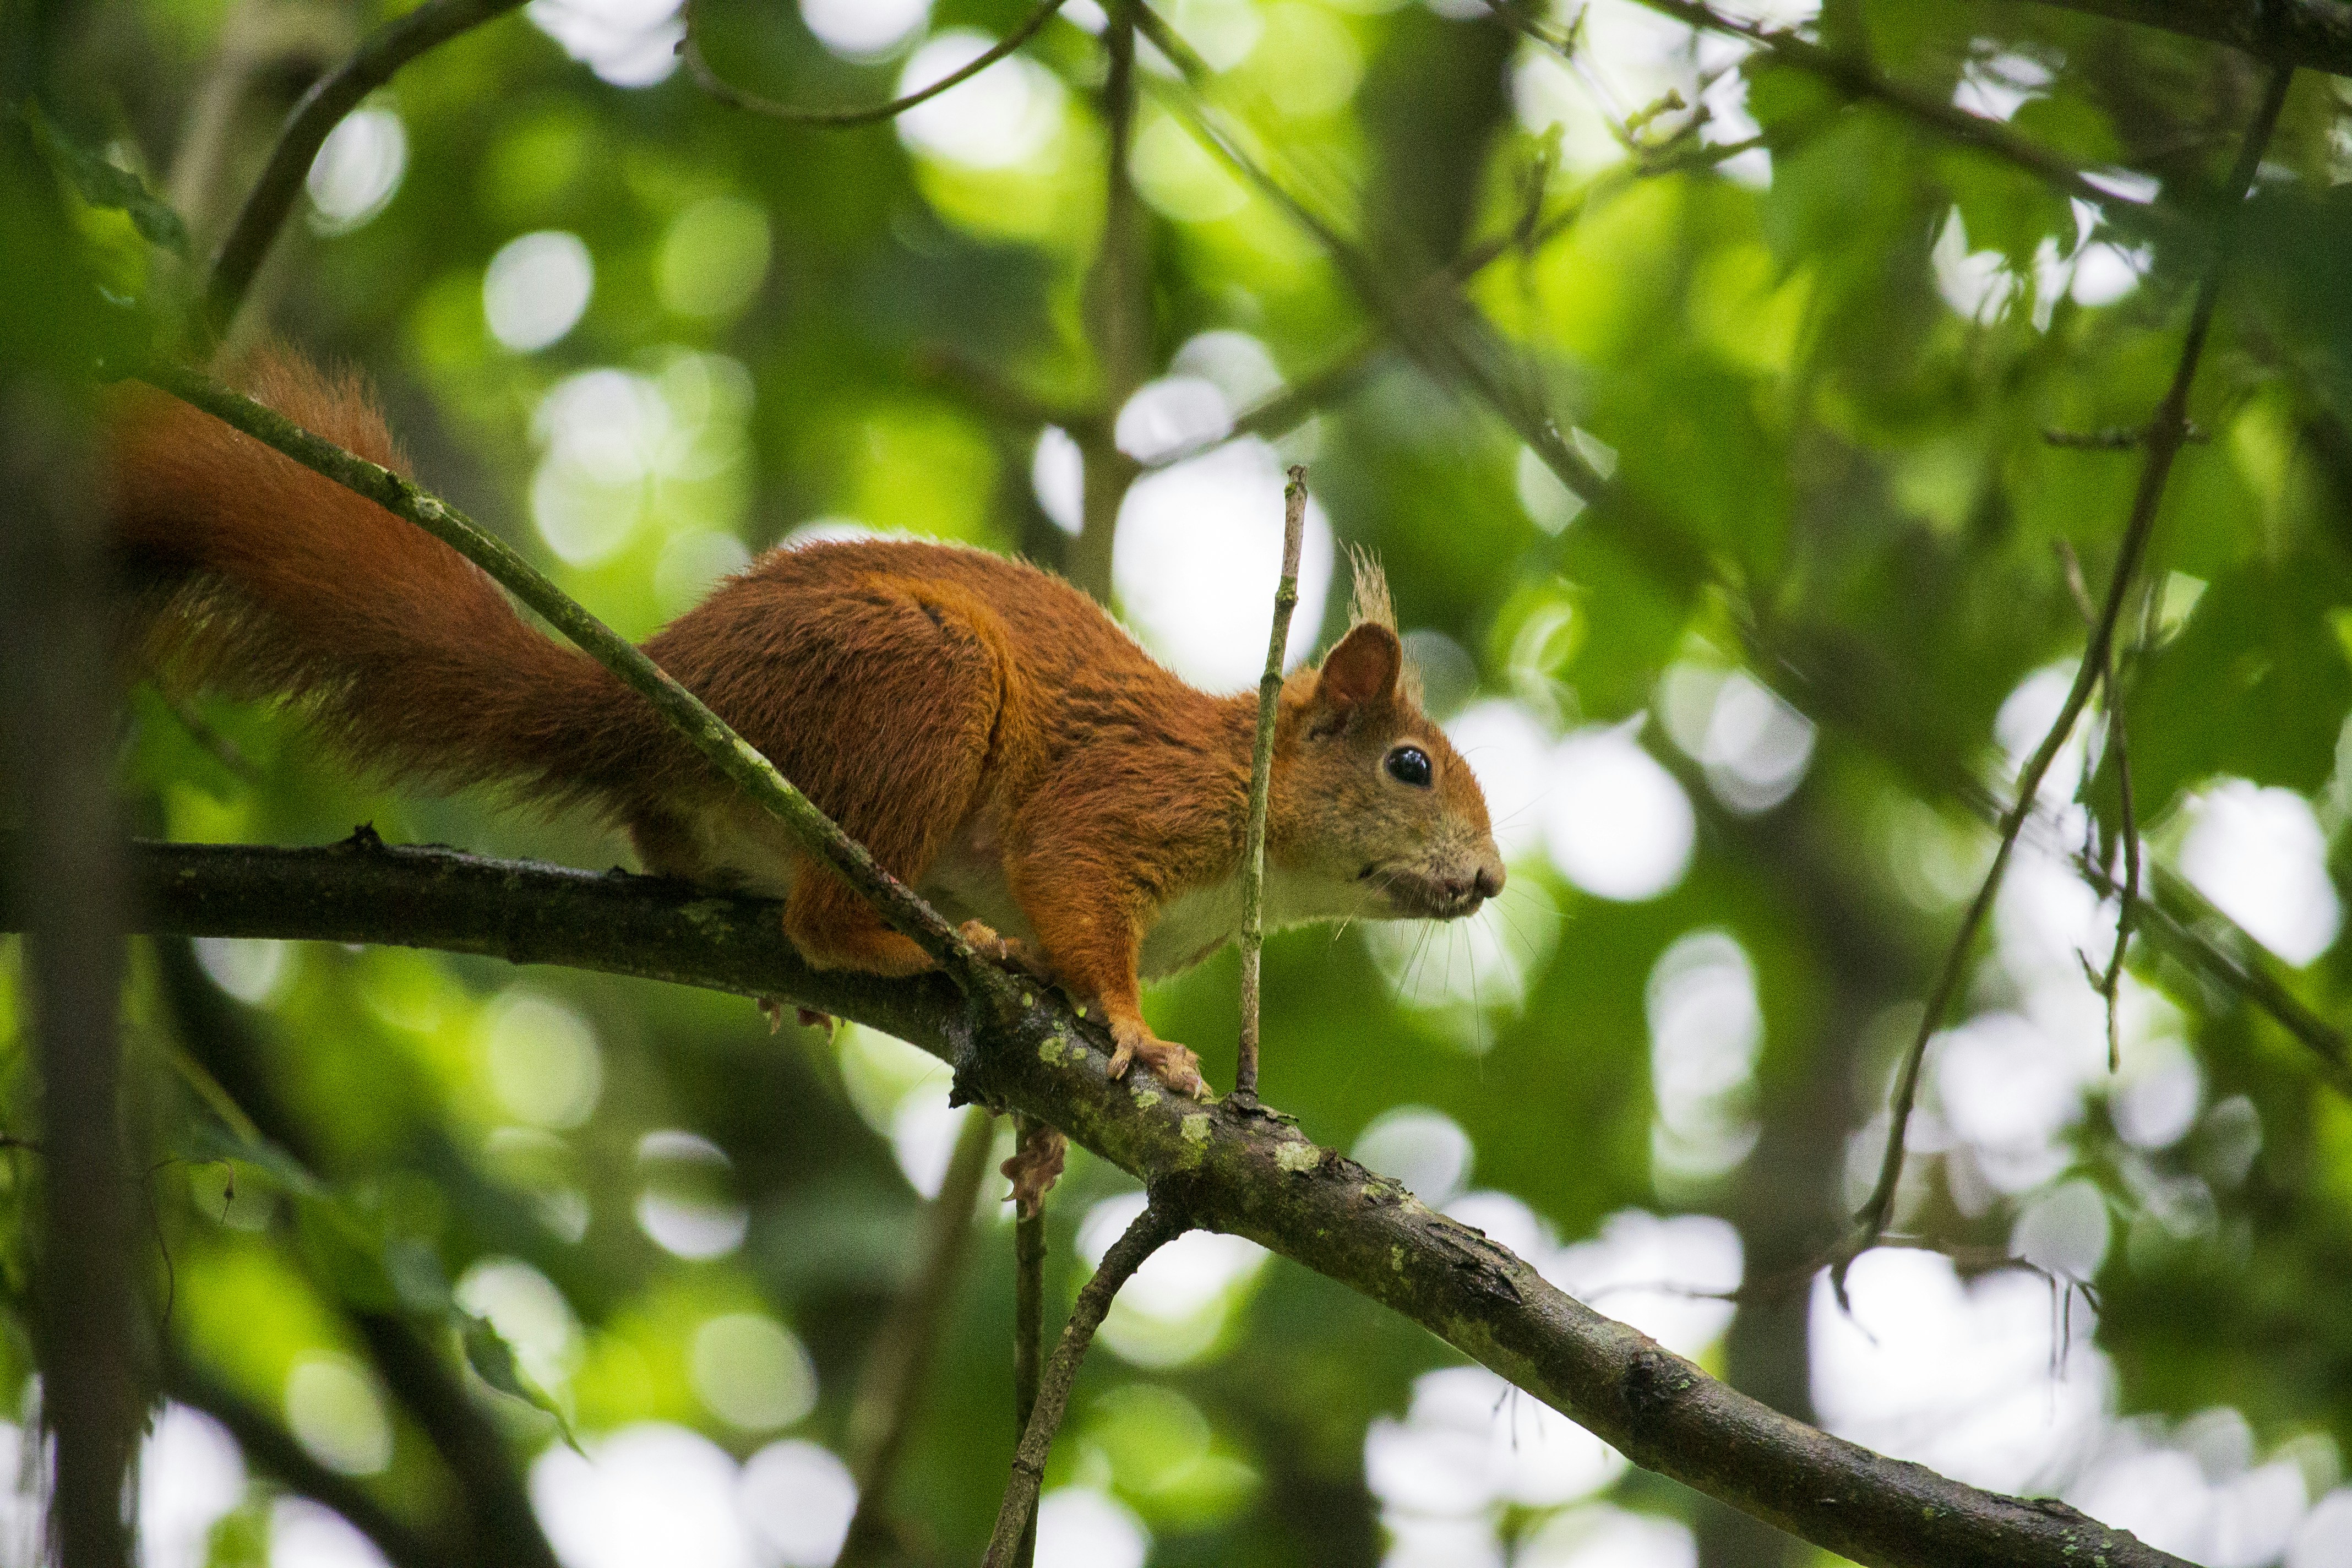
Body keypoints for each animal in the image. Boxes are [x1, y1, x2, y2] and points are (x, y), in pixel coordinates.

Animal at [108, 352, 1506, 1111]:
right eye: (1411, 764)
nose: (1491, 881)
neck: (1246, 787)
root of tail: (659, 694)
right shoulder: (1123, 800)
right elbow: (1069, 874)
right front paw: (1134, 1031)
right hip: (922, 690)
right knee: (822, 916)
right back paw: (935, 942)